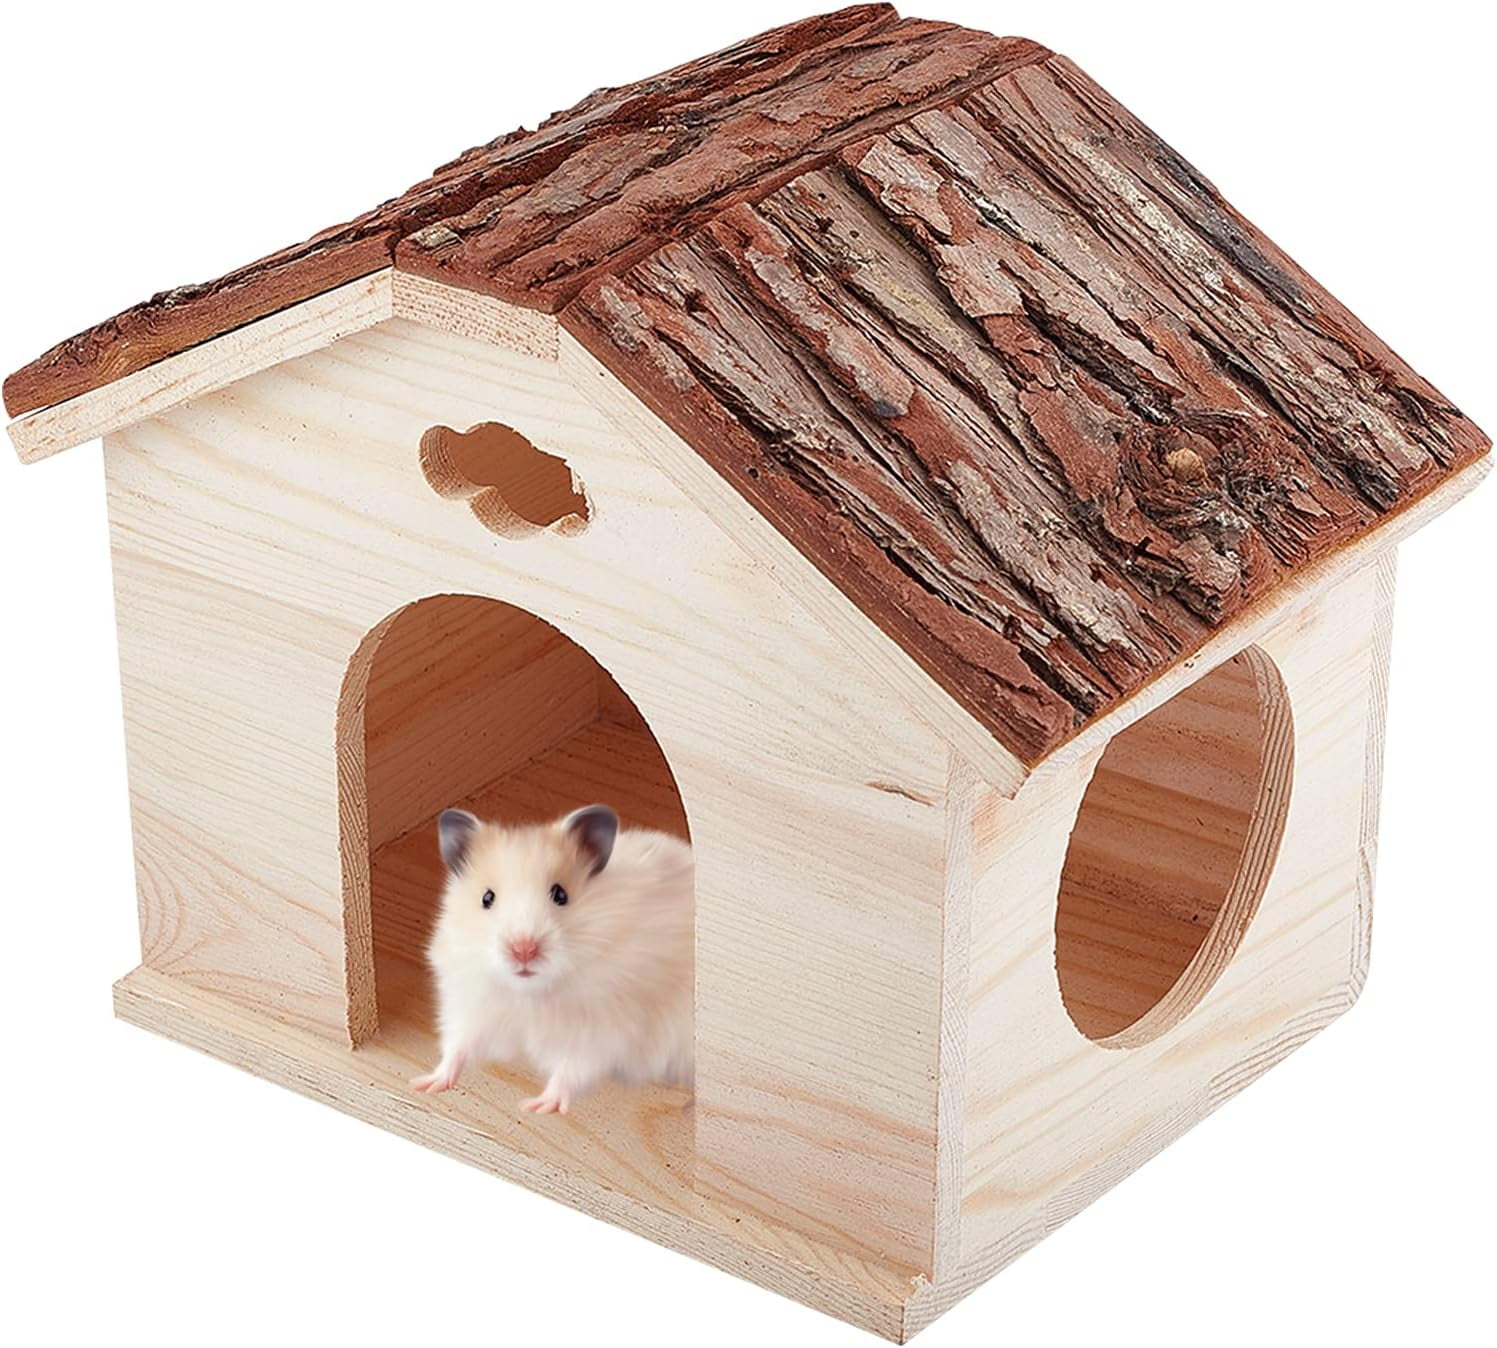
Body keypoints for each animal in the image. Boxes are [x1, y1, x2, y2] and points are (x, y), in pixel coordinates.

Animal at [411, 803, 694, 1115]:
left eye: (561, 894)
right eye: (487, 898)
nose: (523, 950)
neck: (531, 993)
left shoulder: (602, 1029)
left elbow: (571, 1069)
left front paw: (535, 1107)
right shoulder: (473, 1007)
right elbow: (458, 1047)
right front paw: (425, 1084)